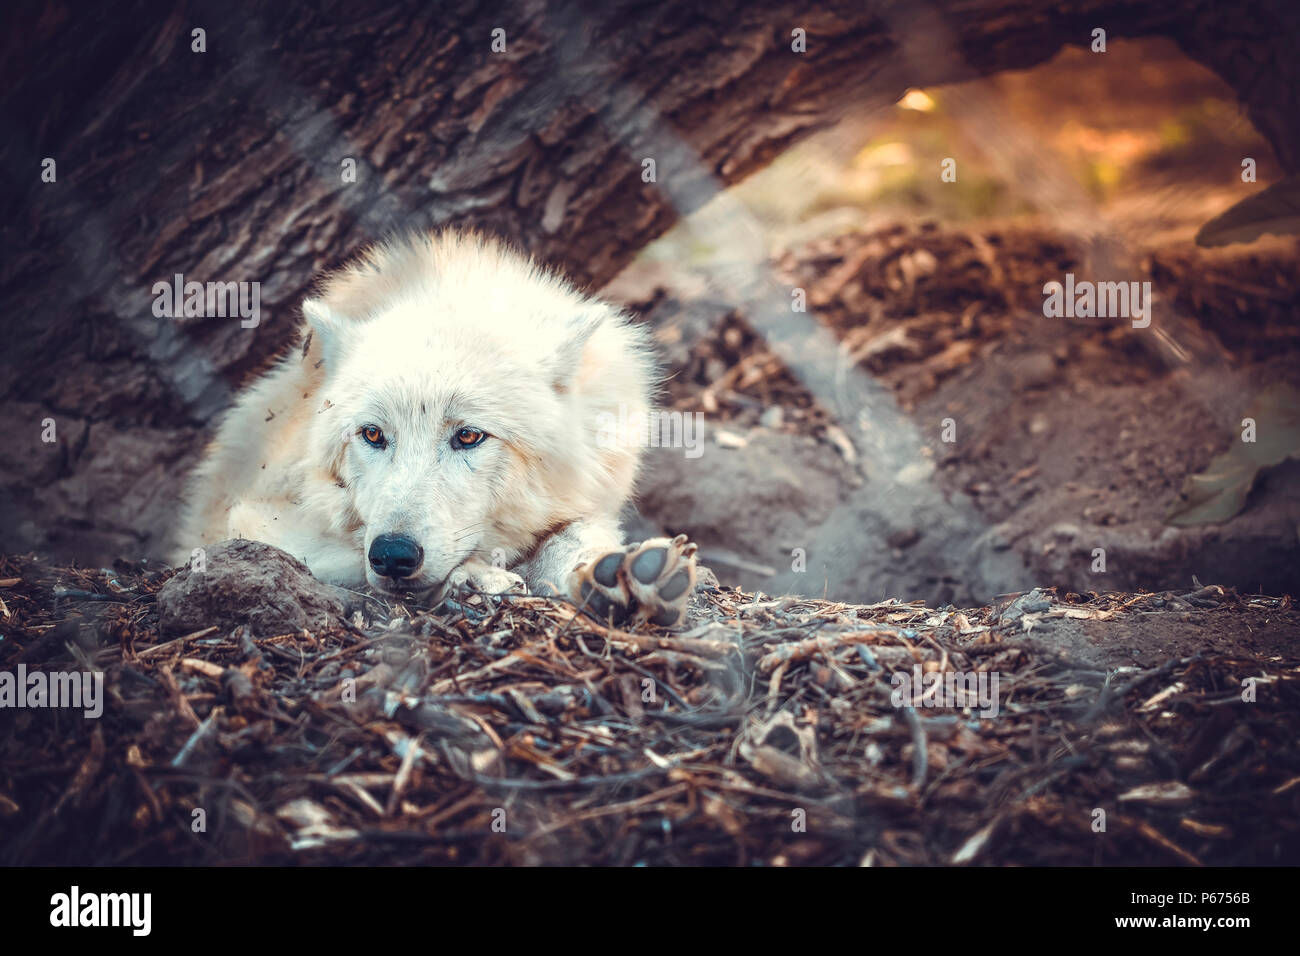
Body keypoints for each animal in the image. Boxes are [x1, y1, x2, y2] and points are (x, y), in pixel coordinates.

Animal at [173, 231, 698, 626]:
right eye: (373, 434)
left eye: (468, 435)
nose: (393, 555)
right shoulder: (250, 515)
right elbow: (340, 554)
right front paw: (476, 577)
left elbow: (578, 533)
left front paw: (628, 574)